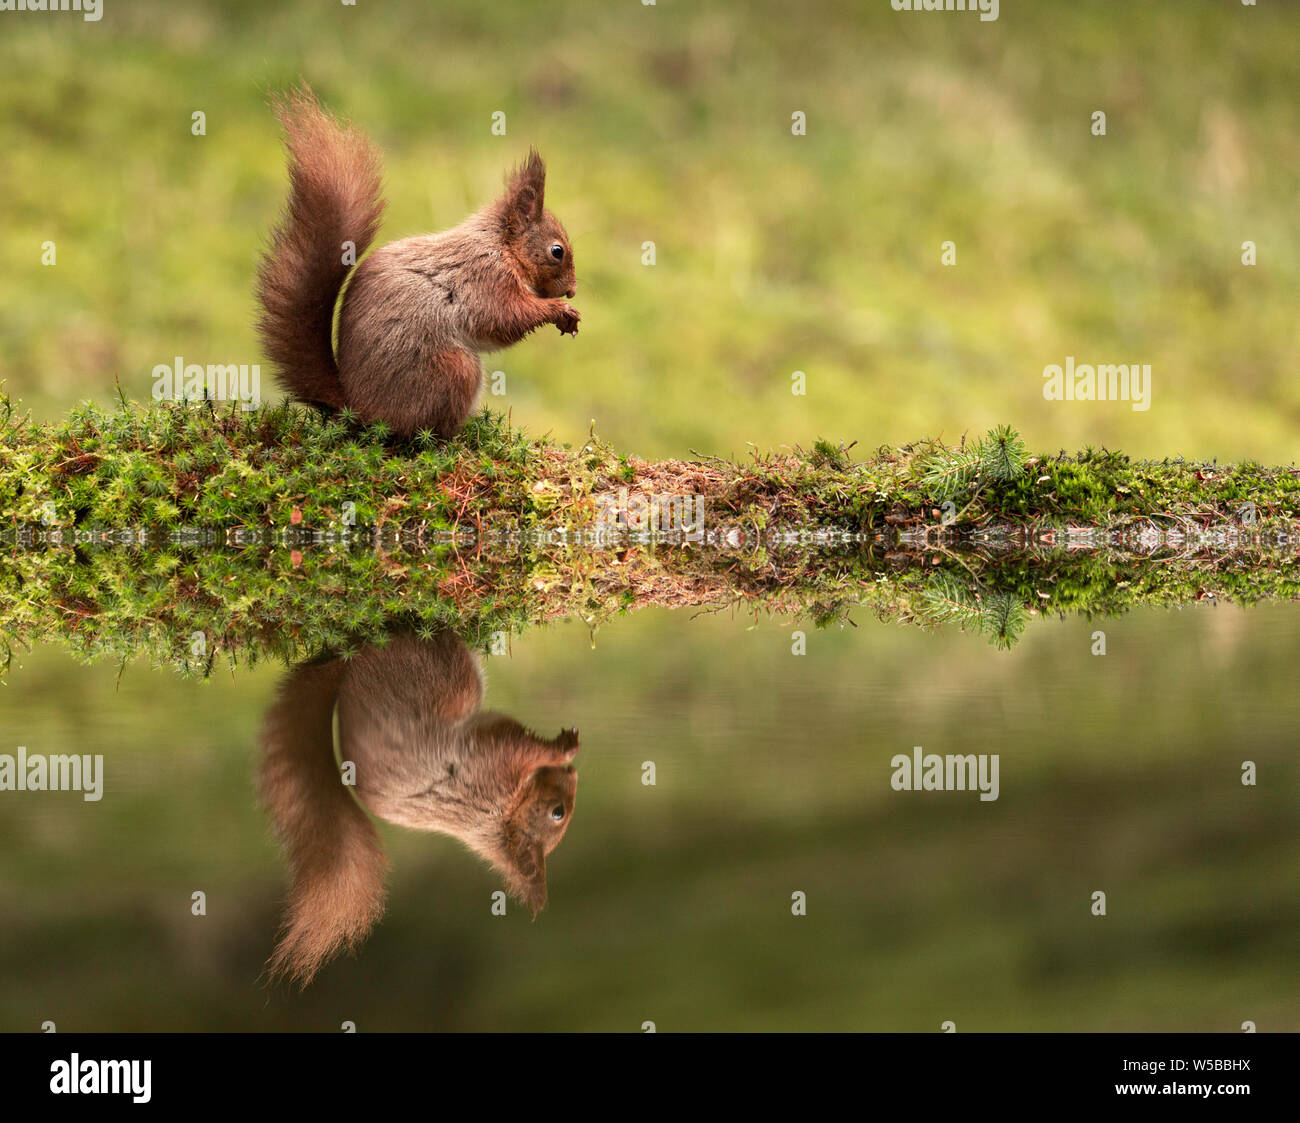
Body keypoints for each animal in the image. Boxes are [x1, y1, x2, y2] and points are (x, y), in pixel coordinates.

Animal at [255, 86, 579, 439]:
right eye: (557, 251)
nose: (573, 290)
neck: (502, 248)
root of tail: (358, 407)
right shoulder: (486, 278)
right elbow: (503, 317)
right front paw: (560, 311)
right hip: (455, 370)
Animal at [257, 630, 580, 985]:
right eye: (558, 812)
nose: (574, 775)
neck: (498, 819)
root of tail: (343, 680)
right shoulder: (489, 767)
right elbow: (519, 746)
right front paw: (562, 749)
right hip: (436, 677)